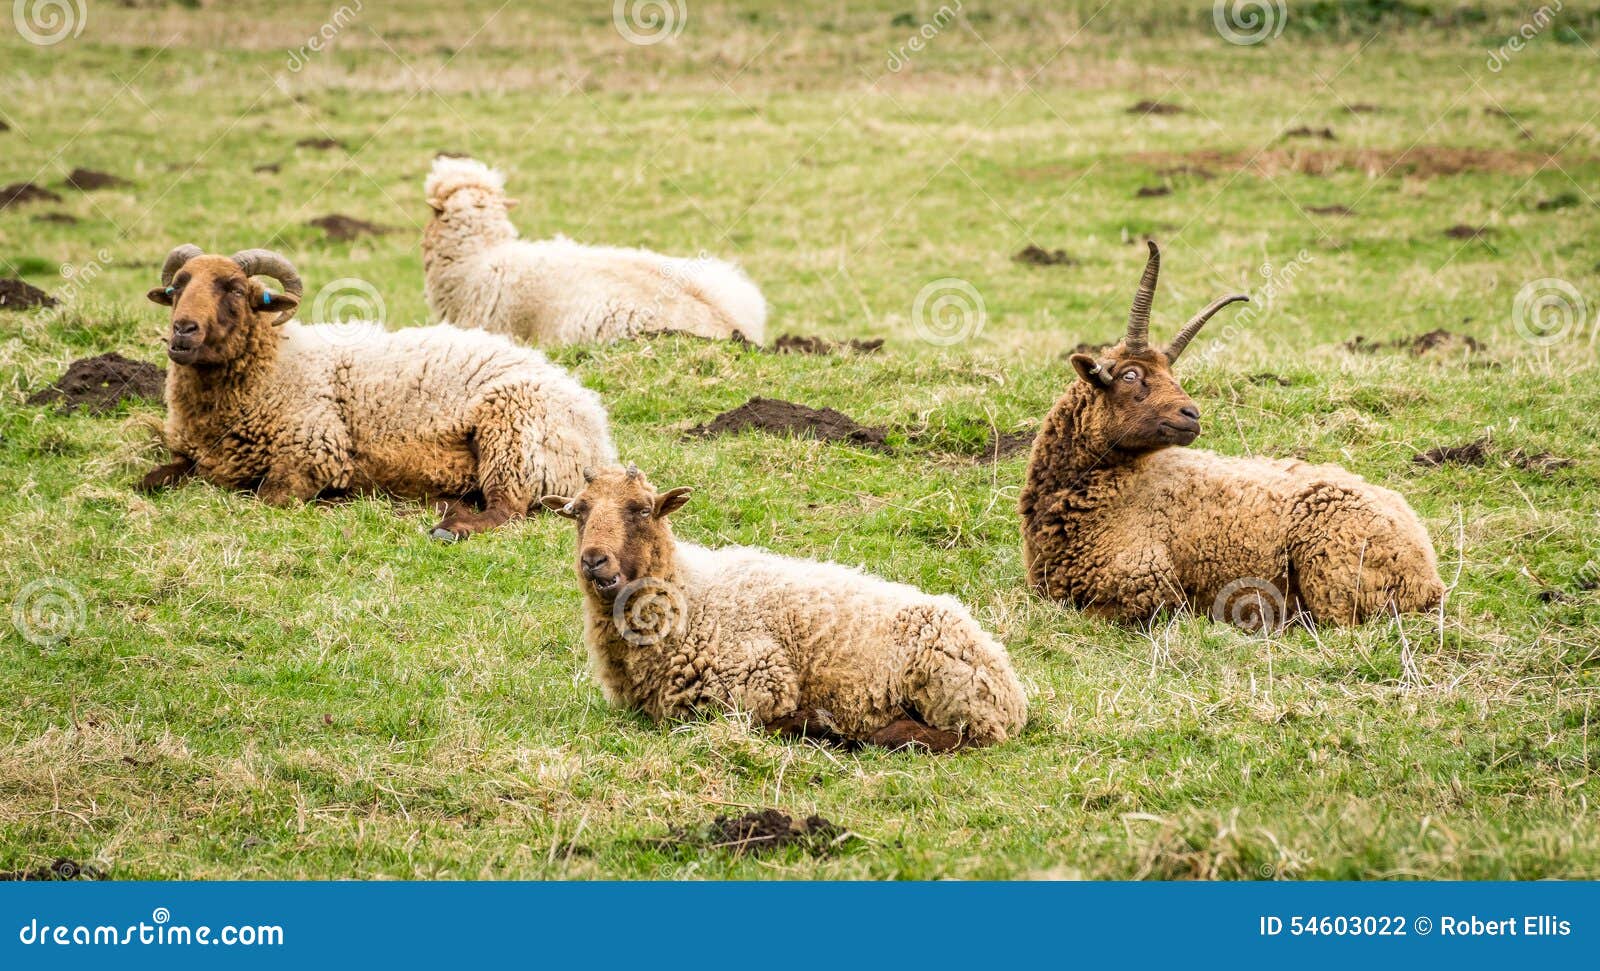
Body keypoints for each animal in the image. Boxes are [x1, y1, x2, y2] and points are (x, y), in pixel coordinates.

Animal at [139, 244, 617, 539]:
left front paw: (331, 501)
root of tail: (596, 429)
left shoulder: (315, 452)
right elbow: (147, 482)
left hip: (512, 438)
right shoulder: (191, 455)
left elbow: (266, 499)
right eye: (177, 287)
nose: (183, 330)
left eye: (235, 290)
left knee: (506, 511)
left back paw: (448, 526)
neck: (281, 363)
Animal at [541, 465, 1028, 751]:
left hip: (955, 693)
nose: (593, 560)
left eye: (642, 509)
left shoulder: (761, 680)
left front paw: (818, 724)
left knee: (959, 737)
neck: (691, 595)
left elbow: (765, 719)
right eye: (578, 511)